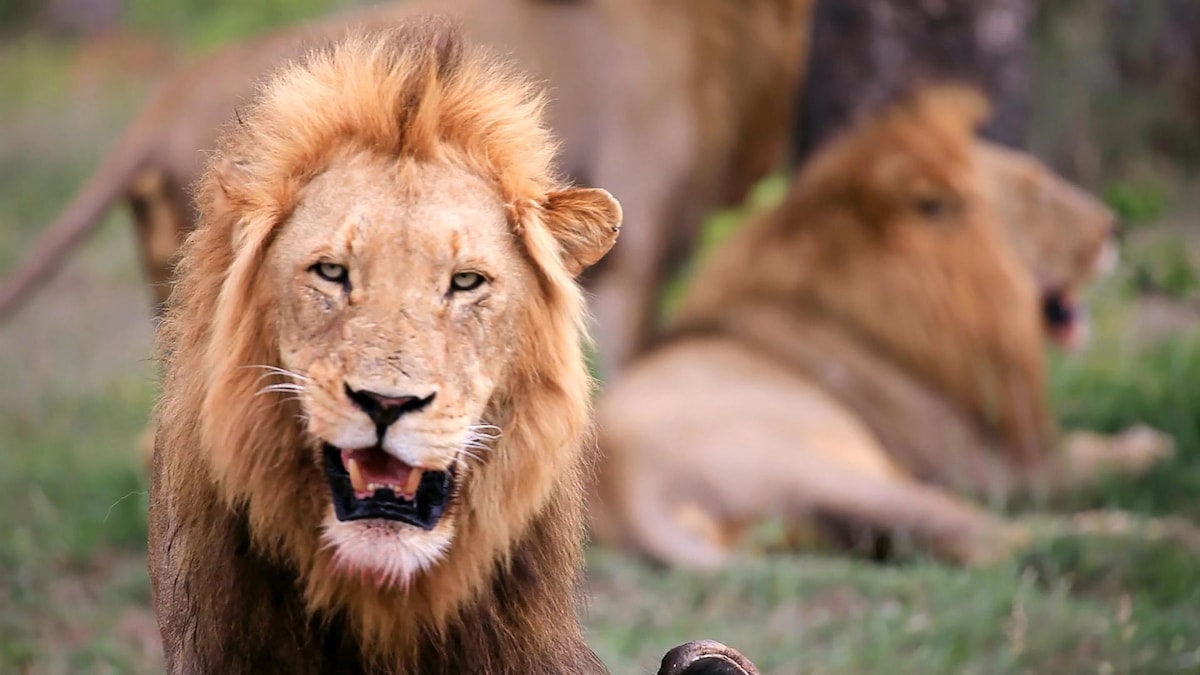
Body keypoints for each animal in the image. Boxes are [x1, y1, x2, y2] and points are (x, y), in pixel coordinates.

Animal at [587, 85, 1171, 569]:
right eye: (1037, 187)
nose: (1115, 228)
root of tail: (624, 487)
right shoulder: (993, 465)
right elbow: (1091, 457)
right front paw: (1151, 447)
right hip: (838, 468)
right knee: (993, 537)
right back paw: (1151, 536)